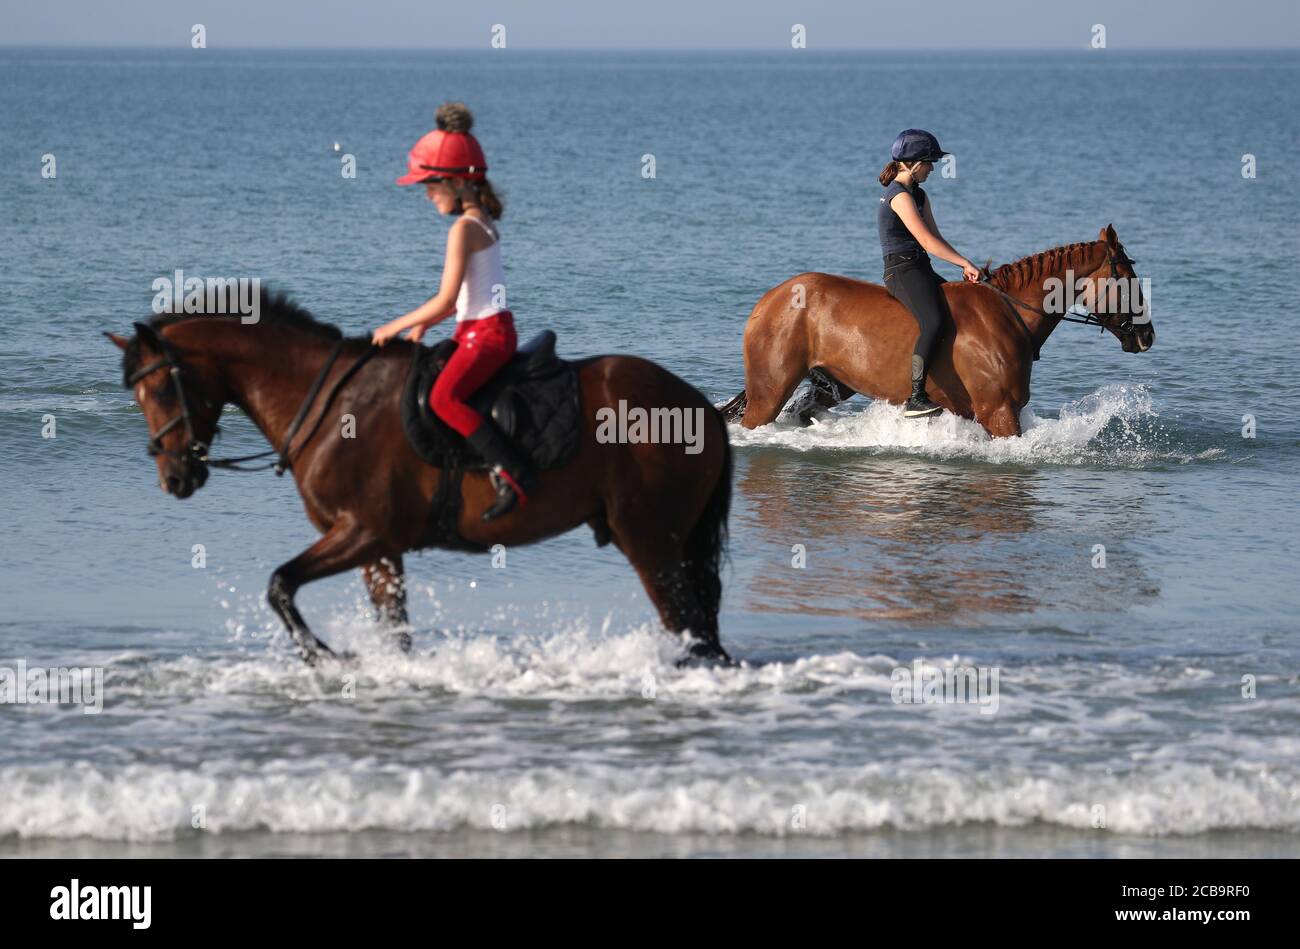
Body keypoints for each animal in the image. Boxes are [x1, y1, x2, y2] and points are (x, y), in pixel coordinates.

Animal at [106, 292, 732, 664]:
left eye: (161, 390)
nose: (174, 477)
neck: (331, 405)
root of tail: (697, 404)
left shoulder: (365, 532)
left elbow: (279, 585)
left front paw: (324, 655)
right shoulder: (377, 550)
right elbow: (393, 629)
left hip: (648, 538)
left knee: (690, 625)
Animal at [721, 225, 1155, 438]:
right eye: (1128, 278)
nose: (1147, 336)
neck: (1008, 312)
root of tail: (769, 299)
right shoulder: (998, 411)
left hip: (834, 384)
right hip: (770, 390)